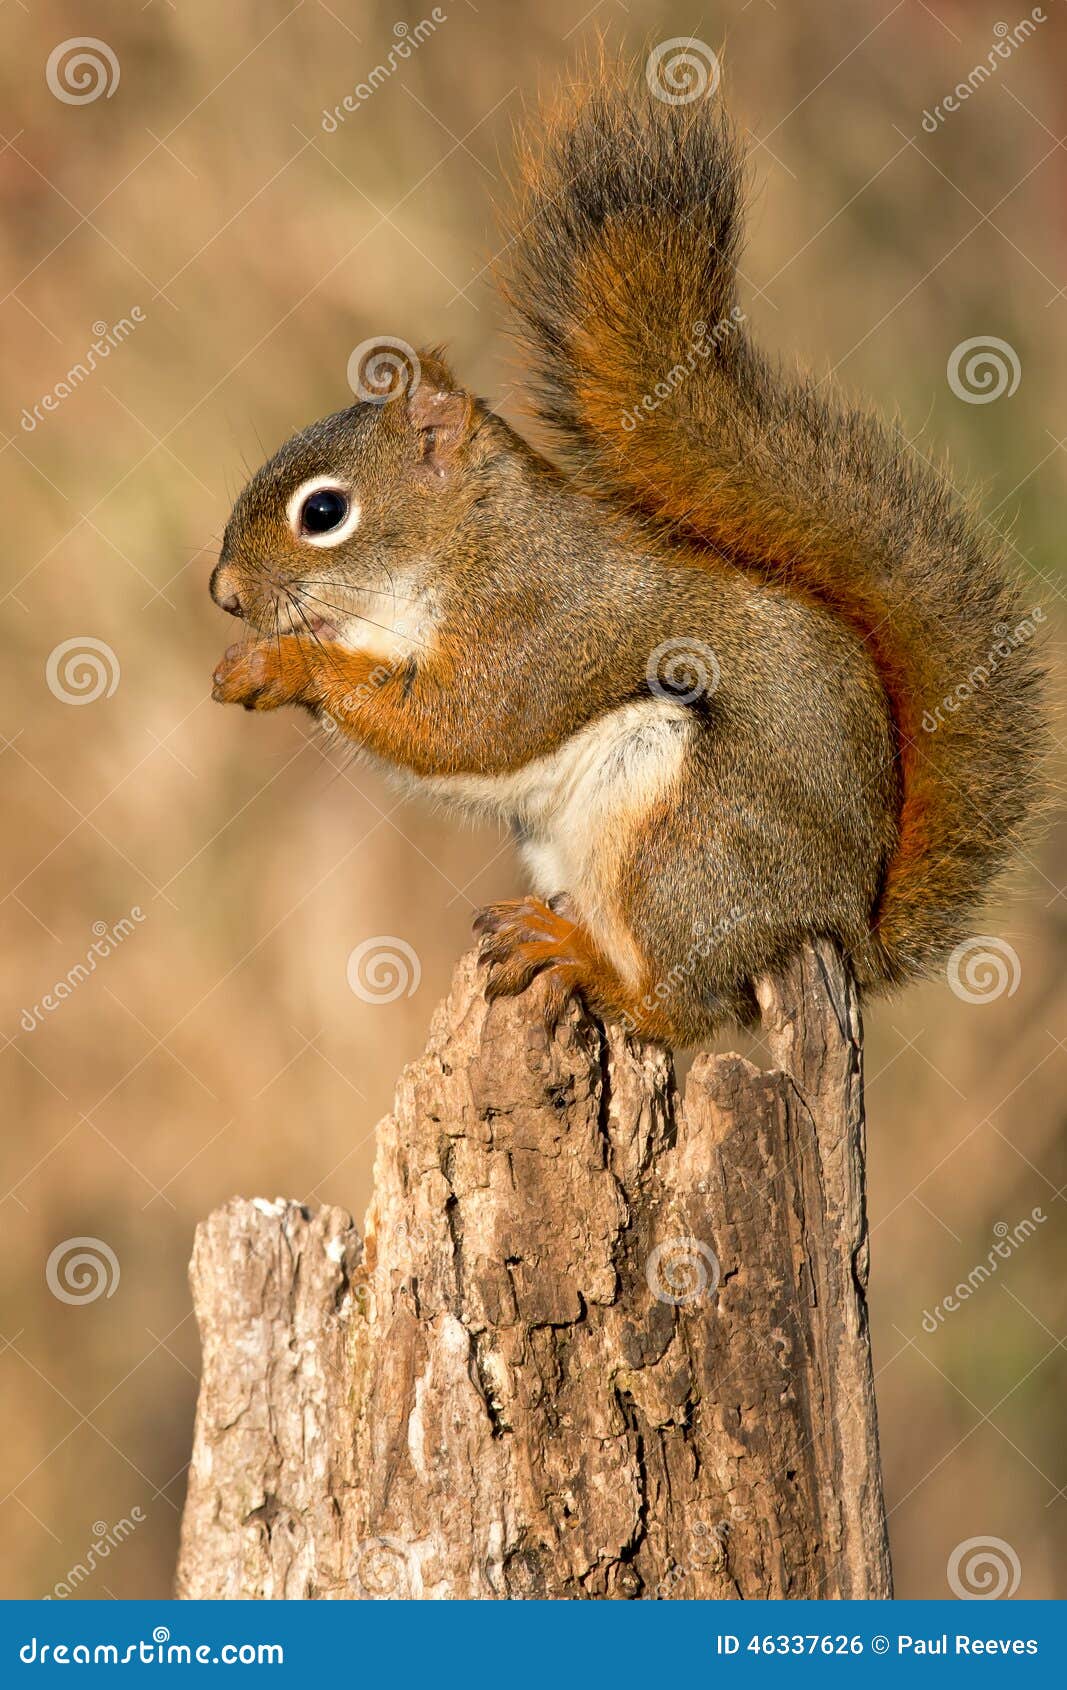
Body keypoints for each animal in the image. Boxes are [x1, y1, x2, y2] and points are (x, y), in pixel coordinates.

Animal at [210, 69, 1045, 1047]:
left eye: (324, 511)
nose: (223, 592)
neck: (464, 545)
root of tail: (842, 924)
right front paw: (248, 663)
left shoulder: (539, 623)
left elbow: (465, 722)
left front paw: (283, 664)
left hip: (684, 849)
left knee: (681, 1008)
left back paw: (588, 969)